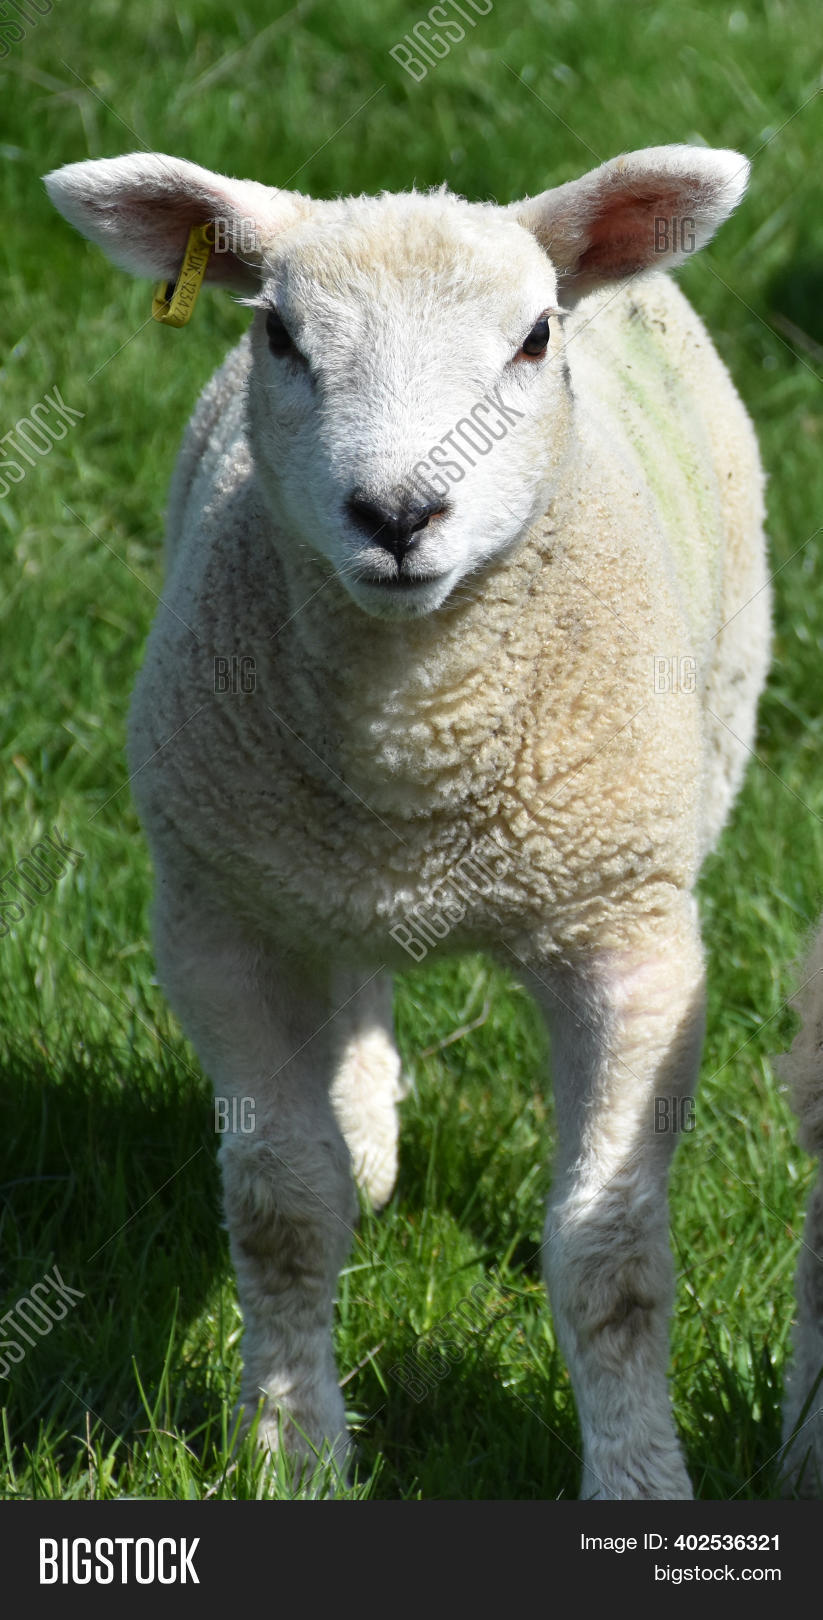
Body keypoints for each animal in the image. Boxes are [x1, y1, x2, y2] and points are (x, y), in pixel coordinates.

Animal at [45, 142, 773, 1500]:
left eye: (535, 338)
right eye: (279, 333)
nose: (394, 515)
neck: (415, 744)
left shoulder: (629, 936)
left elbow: (611, 1259)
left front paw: (639, 1481)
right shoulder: (217, 924)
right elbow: (282, 1209)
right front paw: (292, 1449)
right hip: (287, 859)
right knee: (350, 973)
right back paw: (368, 1126)